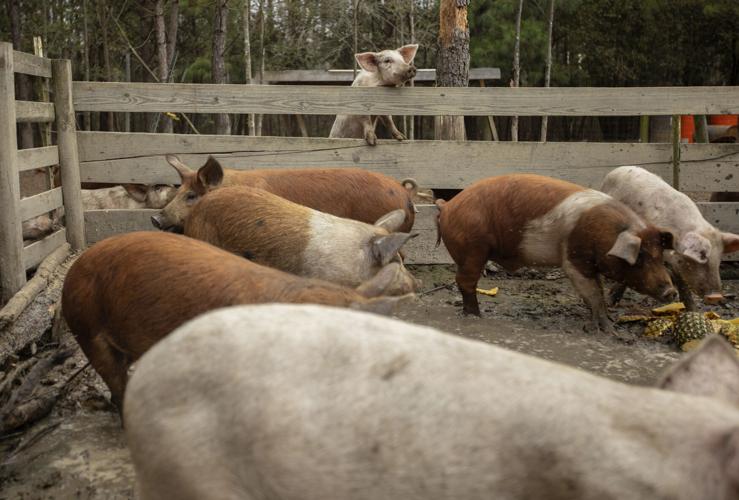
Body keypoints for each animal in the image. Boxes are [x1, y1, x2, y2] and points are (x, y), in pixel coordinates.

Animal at [436, 174, 677, 334]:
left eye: (659, 256)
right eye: (641, 257)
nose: (671, 292)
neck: (607, 235)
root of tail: (447, 206)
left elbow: (598, 292)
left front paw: (609, 324)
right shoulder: (574, 258)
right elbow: (592, 294)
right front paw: (606, 331)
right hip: (472, 249)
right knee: (465, 282)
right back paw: (476, 315)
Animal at [601, 166, 739, 309]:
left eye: (718, 259)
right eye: (701, 257)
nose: (716, 296)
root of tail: (620, 168)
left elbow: (681, 279)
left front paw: (692, 309)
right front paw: (611, 302)